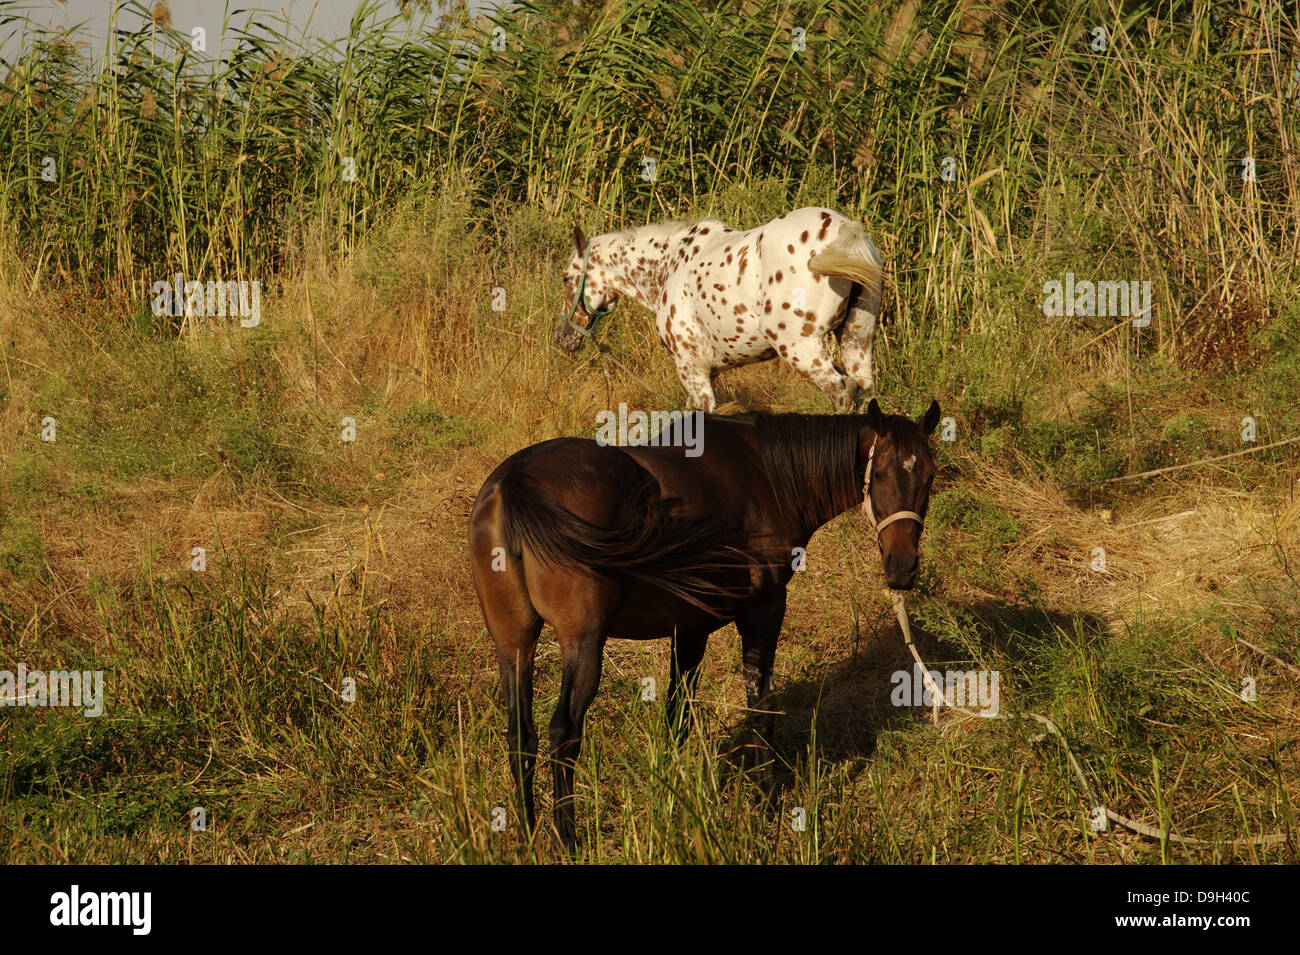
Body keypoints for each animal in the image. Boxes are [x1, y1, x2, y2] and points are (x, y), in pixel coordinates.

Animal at [467, 398, 940, 850]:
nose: (902, 568)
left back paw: (530, 830)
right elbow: (760, 706)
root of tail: (516, 479)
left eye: (930, 478)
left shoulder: (689, 629)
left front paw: (673, 798)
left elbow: (676, 716)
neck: (764, 473)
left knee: (520, 736)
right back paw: (568, 837)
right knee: (563, 732)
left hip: (514, 644)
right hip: (582, 642)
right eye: (880, 474)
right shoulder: (763, 611)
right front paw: (767, 799)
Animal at [553, 207, 885, 413]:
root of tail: (843, 229)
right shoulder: (705, 374)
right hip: (857, 339)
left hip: (798, 346)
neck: (670, 265)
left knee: (840, 392)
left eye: (567, 278)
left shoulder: (692, 369)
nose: (562, 337)